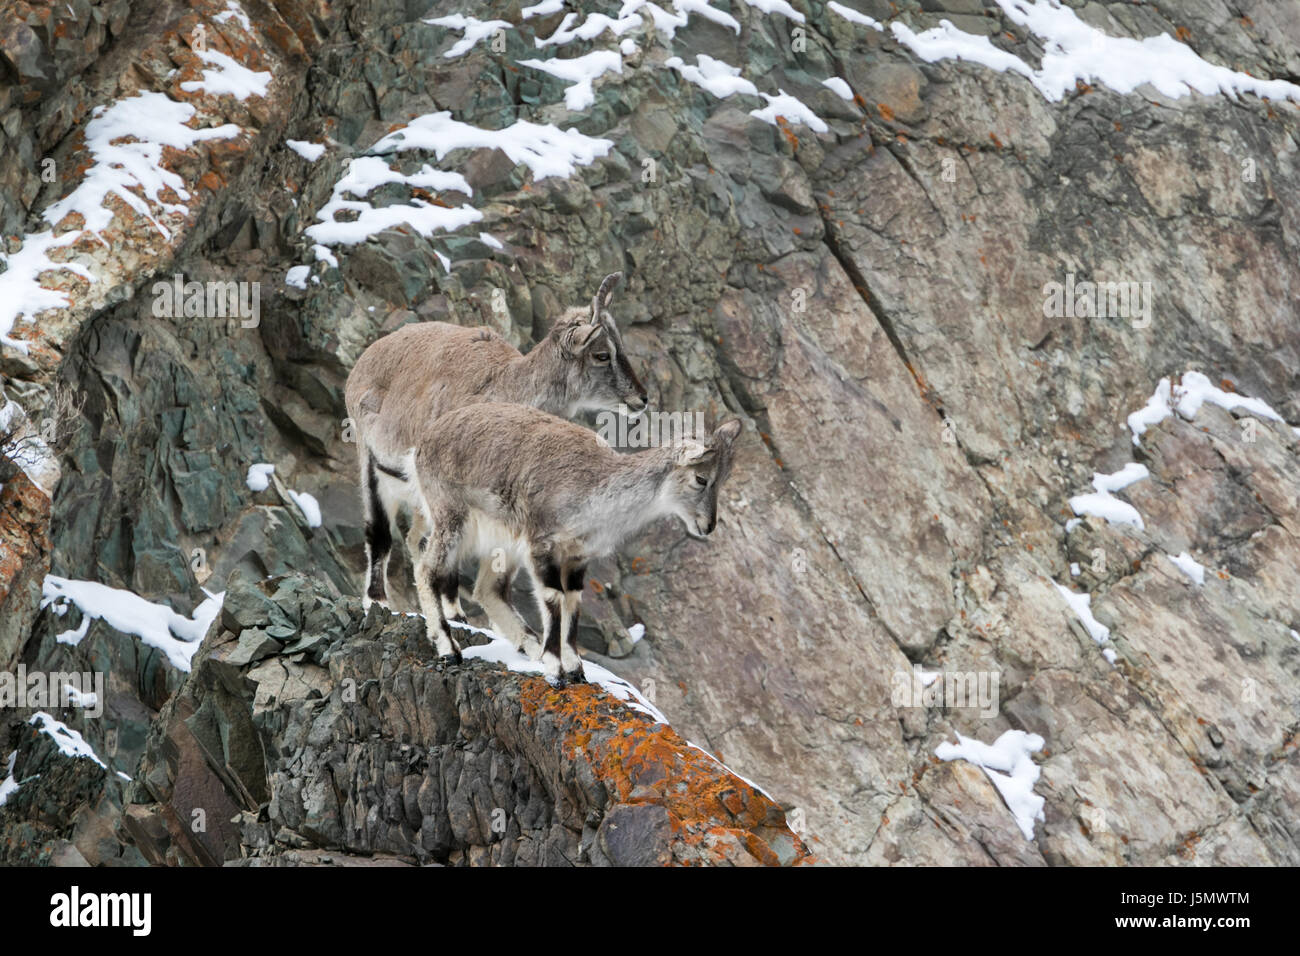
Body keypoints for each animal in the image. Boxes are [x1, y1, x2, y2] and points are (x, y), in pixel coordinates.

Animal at [344, 273, 647, 616]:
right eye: (601, 354)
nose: (642, 398)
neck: (504, 389)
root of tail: (365, 360)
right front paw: (456, 614)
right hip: (371, 460)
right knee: (380, 533)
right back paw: (378, 599)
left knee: (414, 540)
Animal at [403, 401, 742, 685]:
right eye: (701, 479)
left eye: (724, 480)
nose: (708, 526)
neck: (593, 492)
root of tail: (421, 443)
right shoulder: (542, 545)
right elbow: (553, 599)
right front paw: (555, 670)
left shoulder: (577, 556)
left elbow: (573, 602)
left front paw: (576, 669)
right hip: (452, 517)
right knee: (427, 568)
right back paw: (449, 647)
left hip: (502, 543)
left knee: (489, 589)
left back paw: (529, 646)